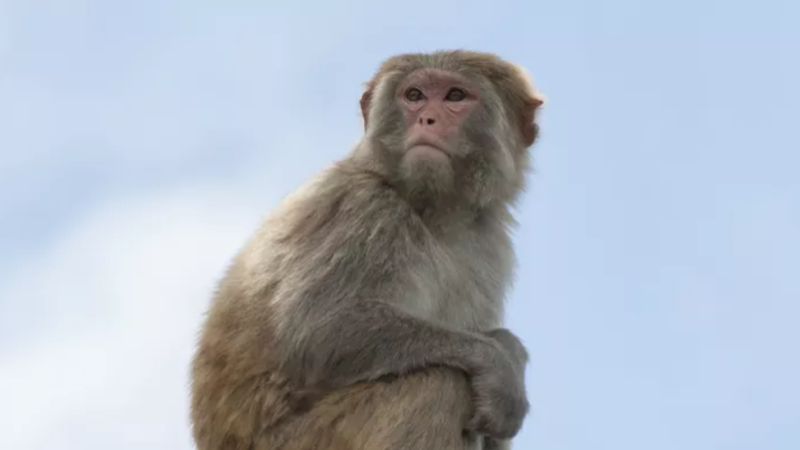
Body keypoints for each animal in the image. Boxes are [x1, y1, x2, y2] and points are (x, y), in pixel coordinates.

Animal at [190, 49, 545, 450]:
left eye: (455, 96)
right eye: (414, 95)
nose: (427, 119)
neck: (433, 211)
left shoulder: (489, 242)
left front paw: (509, 352)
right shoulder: (366, 210)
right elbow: (320, 329)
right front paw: (497, 362)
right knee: (440, 386)